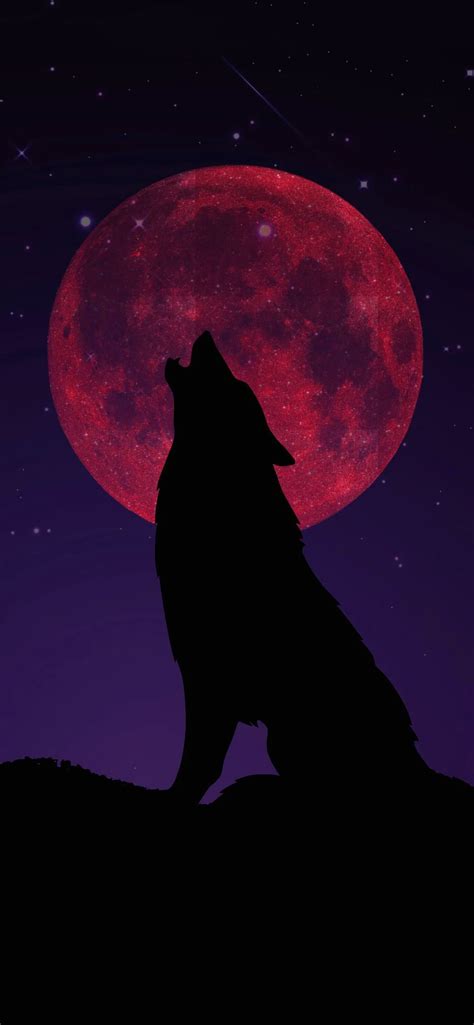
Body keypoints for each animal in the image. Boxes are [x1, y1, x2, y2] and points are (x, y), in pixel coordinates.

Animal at [155, 330, 425, 804]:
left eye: (235, 383)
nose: (207, 334)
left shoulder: (208, 674)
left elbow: (199, 761)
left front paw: (172, 798)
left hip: (286, 737)